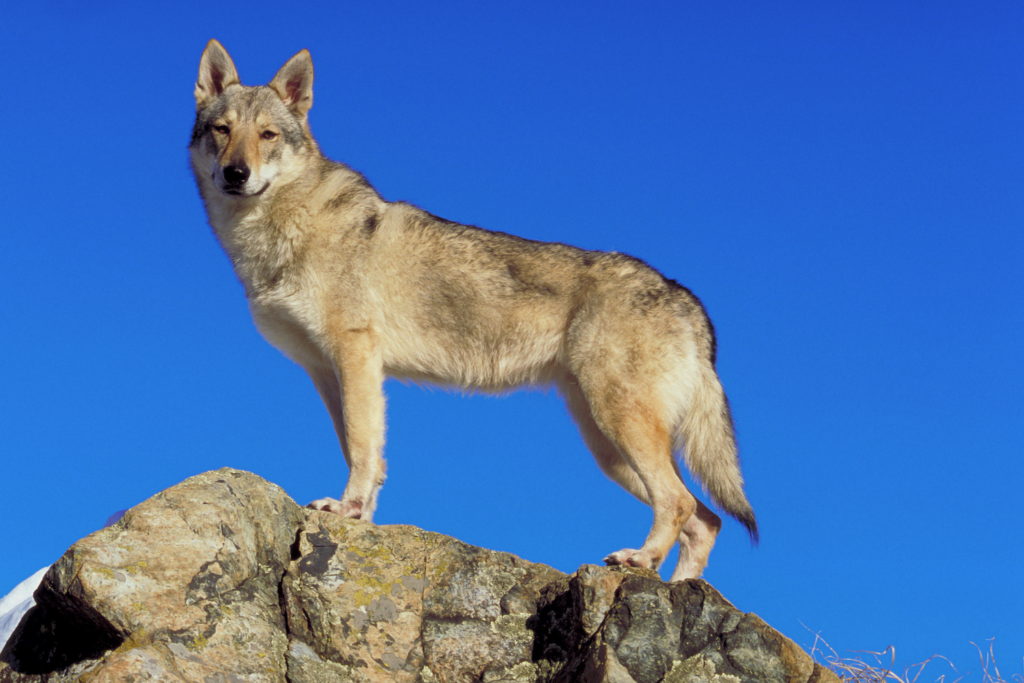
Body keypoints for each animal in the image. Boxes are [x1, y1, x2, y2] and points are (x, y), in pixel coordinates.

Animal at [189, 39, 757, 580]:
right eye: (222, 130)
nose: (236, 173)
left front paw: (346, 510)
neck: (274, 237)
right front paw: (364, 521)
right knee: (707, 519)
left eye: (267, 135)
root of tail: (687, 298)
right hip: (607, 446)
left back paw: (640, 560)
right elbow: (364, 449)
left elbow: (362, 445)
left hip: (620, 426)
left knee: (681, 503)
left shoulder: (356, 355)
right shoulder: (329, 372)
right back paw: (675, 585)